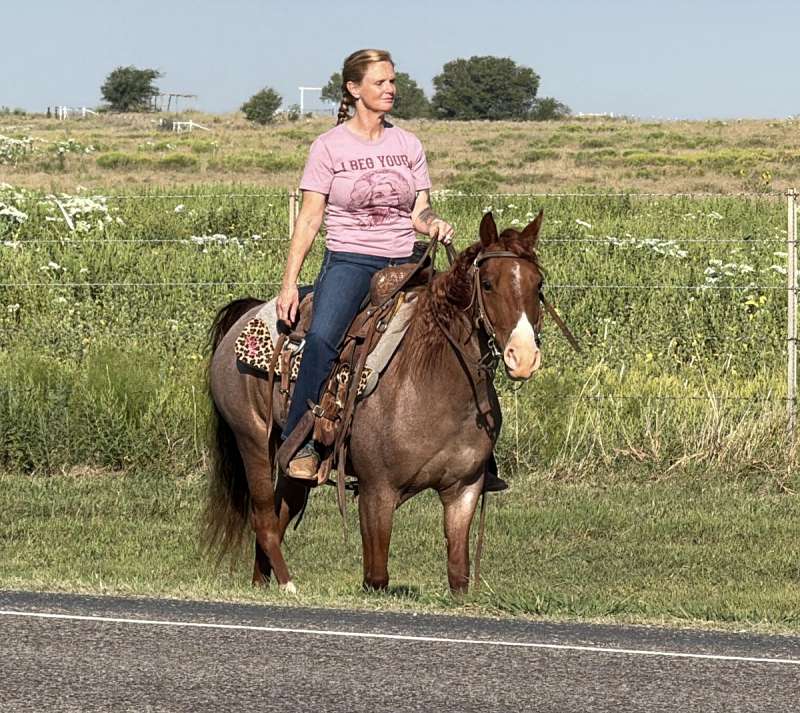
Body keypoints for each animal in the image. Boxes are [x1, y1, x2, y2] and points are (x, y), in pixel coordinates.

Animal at [204, 210, 546, 594]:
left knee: (277, 517)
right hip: (252, 442)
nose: (524, 357)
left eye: (538, 285)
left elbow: (459, 575)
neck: (434, 381)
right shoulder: (377, 491)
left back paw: (265, 582)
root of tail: (245, 314)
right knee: (263, 520)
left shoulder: (464, 490)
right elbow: (377, 576)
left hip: (289, 468)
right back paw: (289, 584)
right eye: (487, 283)